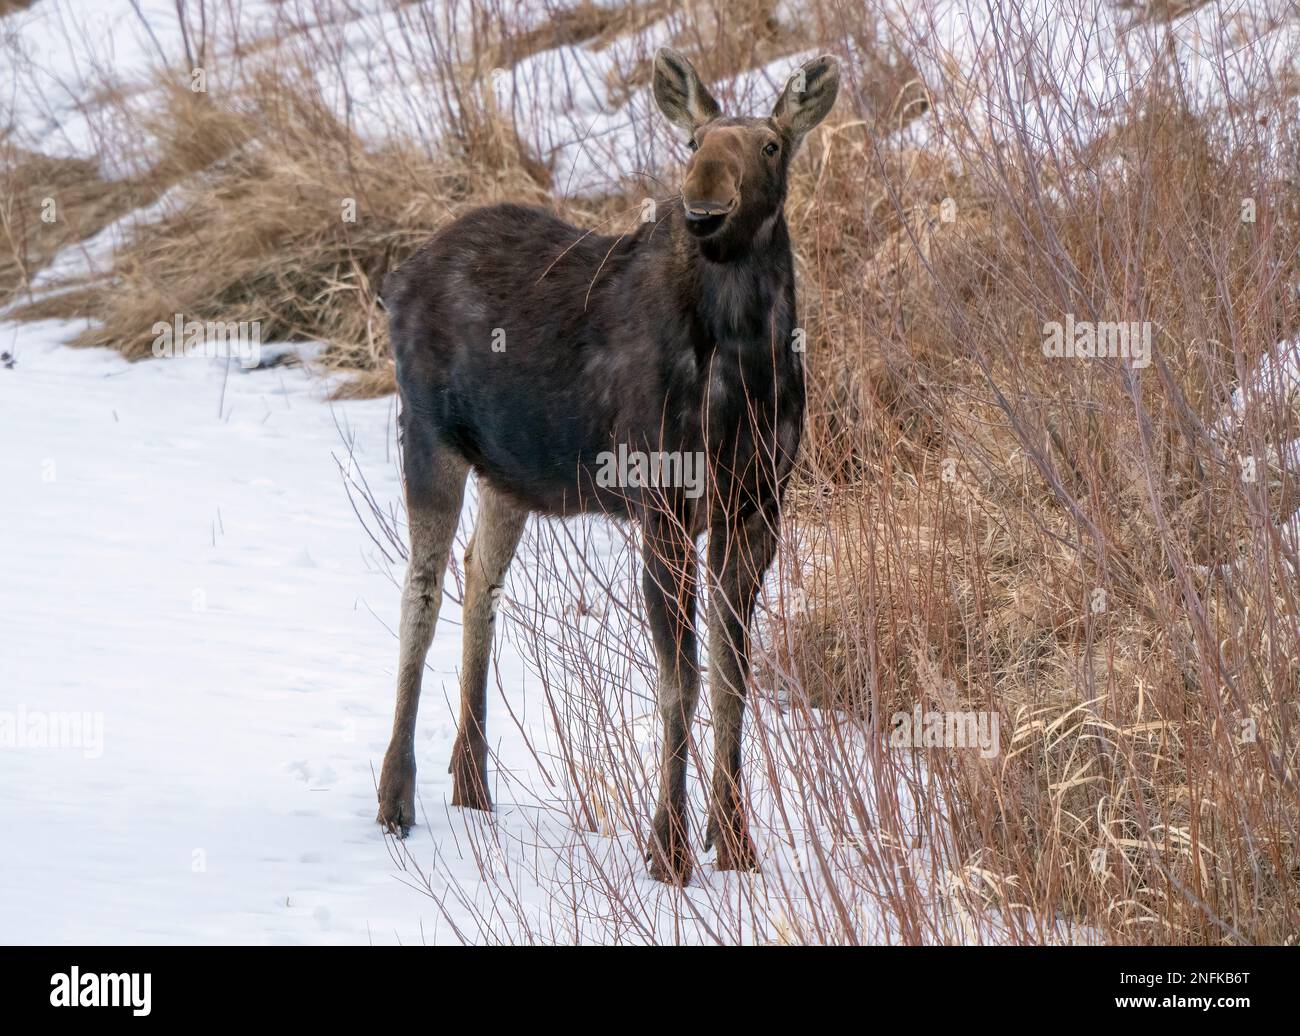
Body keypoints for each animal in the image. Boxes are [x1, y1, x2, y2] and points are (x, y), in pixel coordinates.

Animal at [376, 48, 839, 885]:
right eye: (693, 142)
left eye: (770, 146)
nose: (704, 204)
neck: (747, 360)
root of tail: (394, 280)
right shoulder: (663, 506)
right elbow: (681, 678)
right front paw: (669, 849)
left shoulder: (757, 508)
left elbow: (732, 672)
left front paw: (737, 842)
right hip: (429, 439)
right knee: (419, 593)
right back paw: (396, 797)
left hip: (510, 475)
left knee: (479, 577)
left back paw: (472, 783)